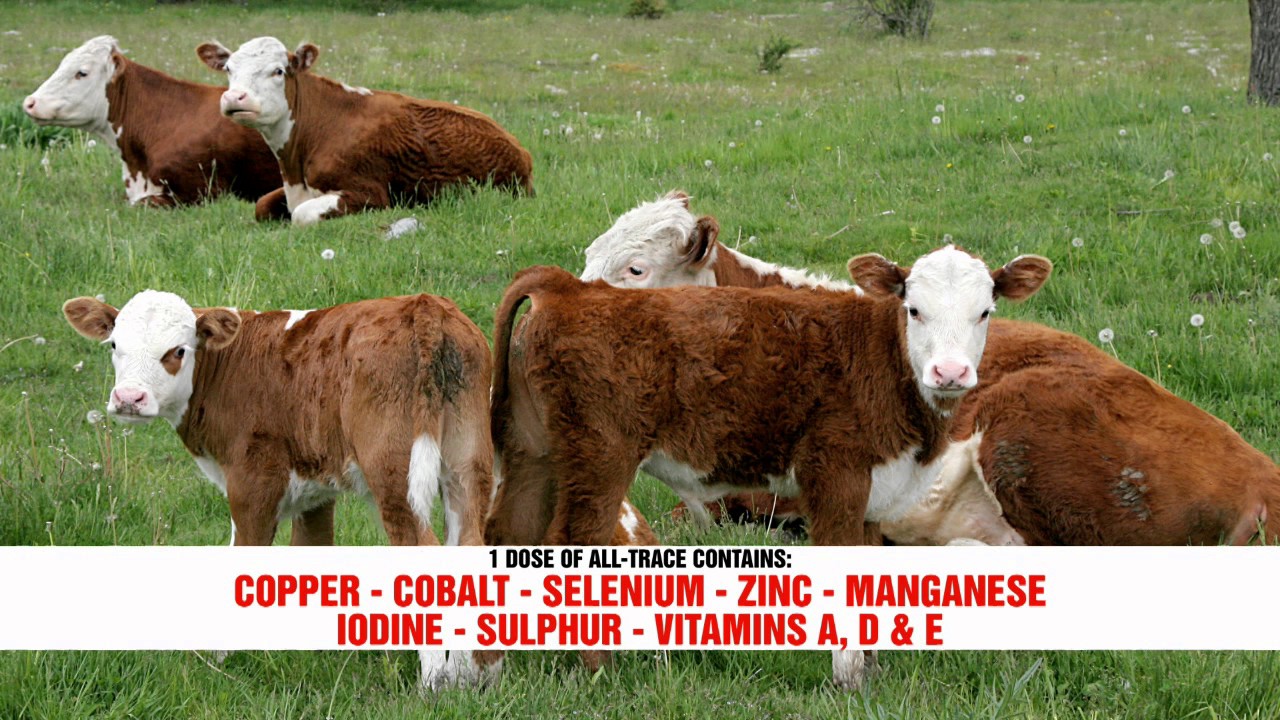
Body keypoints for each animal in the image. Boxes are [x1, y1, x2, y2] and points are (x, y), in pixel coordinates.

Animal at [63, 290, 498, 689]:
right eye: (115, 345)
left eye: (178, 351)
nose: (129, 399)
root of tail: (425, 307)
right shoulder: (315, 489)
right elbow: (312, 551)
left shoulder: (252, 482)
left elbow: (244, 557)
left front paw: (222, 656)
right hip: (467, 459)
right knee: (470, 545)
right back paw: (474, 675)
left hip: (395, 474)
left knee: (423, 551)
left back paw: (434, 681)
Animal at [196, 37, 534, 225]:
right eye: (229, 69)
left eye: (278, 71)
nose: (234, 98)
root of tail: (519, 148)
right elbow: (262, 205)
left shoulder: (369, 194)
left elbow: (302, 215)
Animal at [488, 246, 1053, 690]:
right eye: (914, 309)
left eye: (985, 312)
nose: (951, 373)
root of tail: (569, 289)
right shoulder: (836, 477)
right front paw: (848, 680)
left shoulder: (876, 496)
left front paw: (869, 672)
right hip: (601, 454)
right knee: (575, 540)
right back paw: (597, 668)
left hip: (533, 452)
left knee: (512, 533)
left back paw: (501, 665)